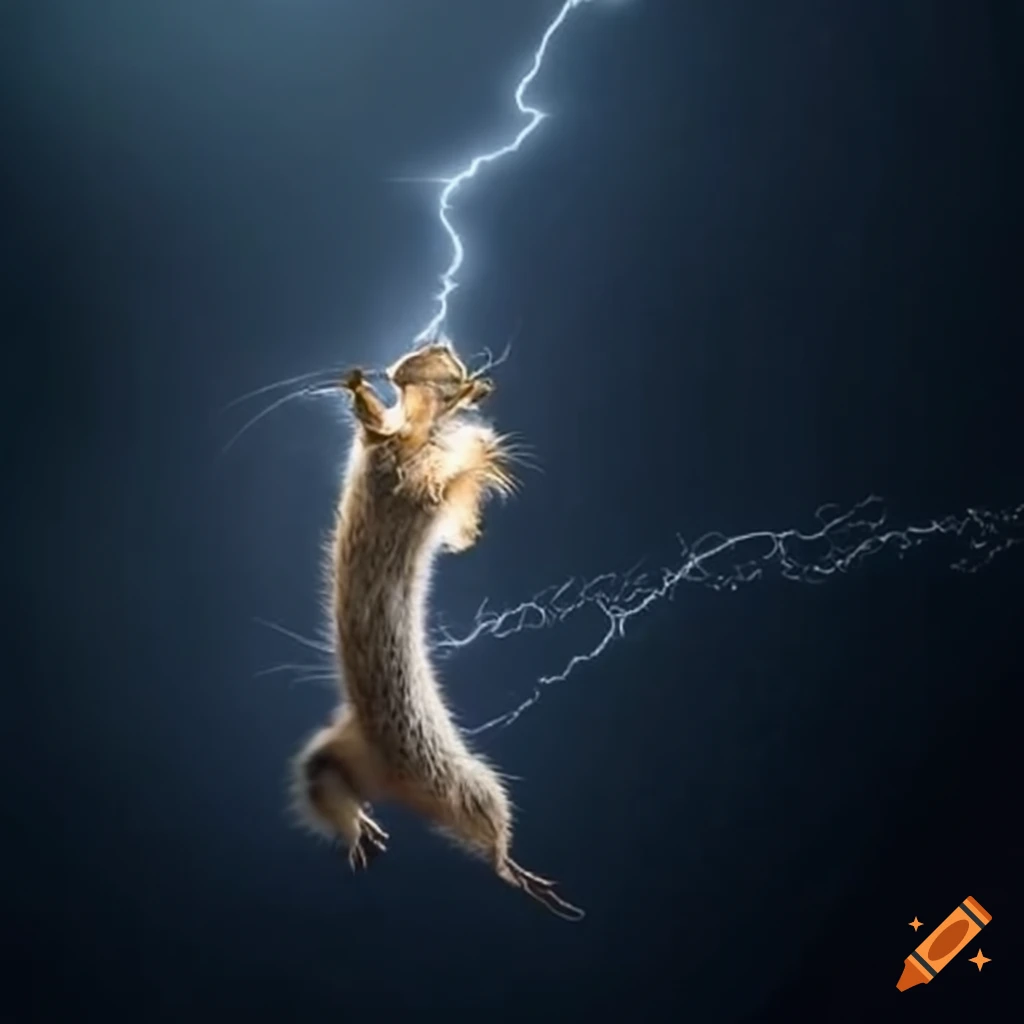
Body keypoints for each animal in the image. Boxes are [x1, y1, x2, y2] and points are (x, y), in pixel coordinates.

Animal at [292, 340, 584, 921]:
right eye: (438, 382)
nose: (447, 353)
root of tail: (388, 777)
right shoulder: (412, 475)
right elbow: (447, 478)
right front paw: (480, 448)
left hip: (344, 757)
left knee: (325, 782)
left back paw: (364, 831)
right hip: (464, 783)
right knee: (493, 840)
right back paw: (531, 882)